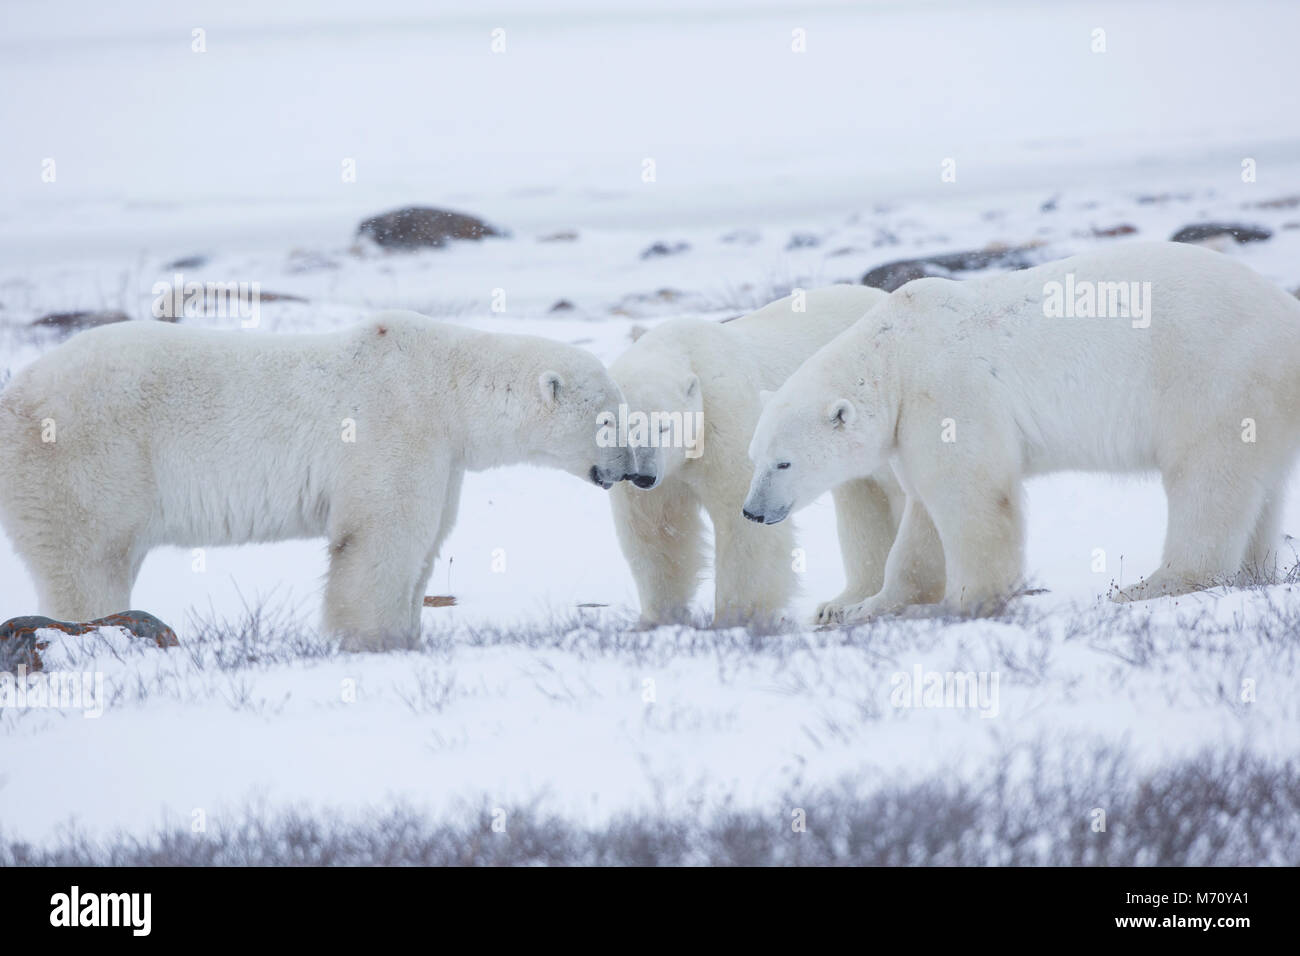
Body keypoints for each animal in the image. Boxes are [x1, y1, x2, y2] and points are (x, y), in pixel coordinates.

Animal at [0, 311, 633, 651]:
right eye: (609, 417)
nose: (634, 468)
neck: (445, 386)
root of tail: (13, 396)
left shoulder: (444, 457)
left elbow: (427, 542)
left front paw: (410, 633)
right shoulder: (396, 427)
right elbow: (380, 538)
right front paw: (372, 640)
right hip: (88, 462)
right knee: (88, 561)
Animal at [607, 285, 901, 627]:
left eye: (664, 426)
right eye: (625, 428)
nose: (643, 476)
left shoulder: (727, 418)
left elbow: (743, 521)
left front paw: (734, 617)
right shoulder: (647, 472)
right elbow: (655, 528)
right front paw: (657, 617)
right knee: (862, 501)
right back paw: (839, 604)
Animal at [744, 241, 1300, 622]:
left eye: (784, 461)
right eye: (755, 457)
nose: (752, 511)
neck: (895, 356)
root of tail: (1287, 313)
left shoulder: (948, 392)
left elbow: (972, 498)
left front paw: (966, 603)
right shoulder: (912, 425)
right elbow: (923, 517)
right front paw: (864, 607)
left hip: (1217, 378)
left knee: (1206, 480)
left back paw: (1148, 585)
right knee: (1260, 489)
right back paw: (1254, 575)